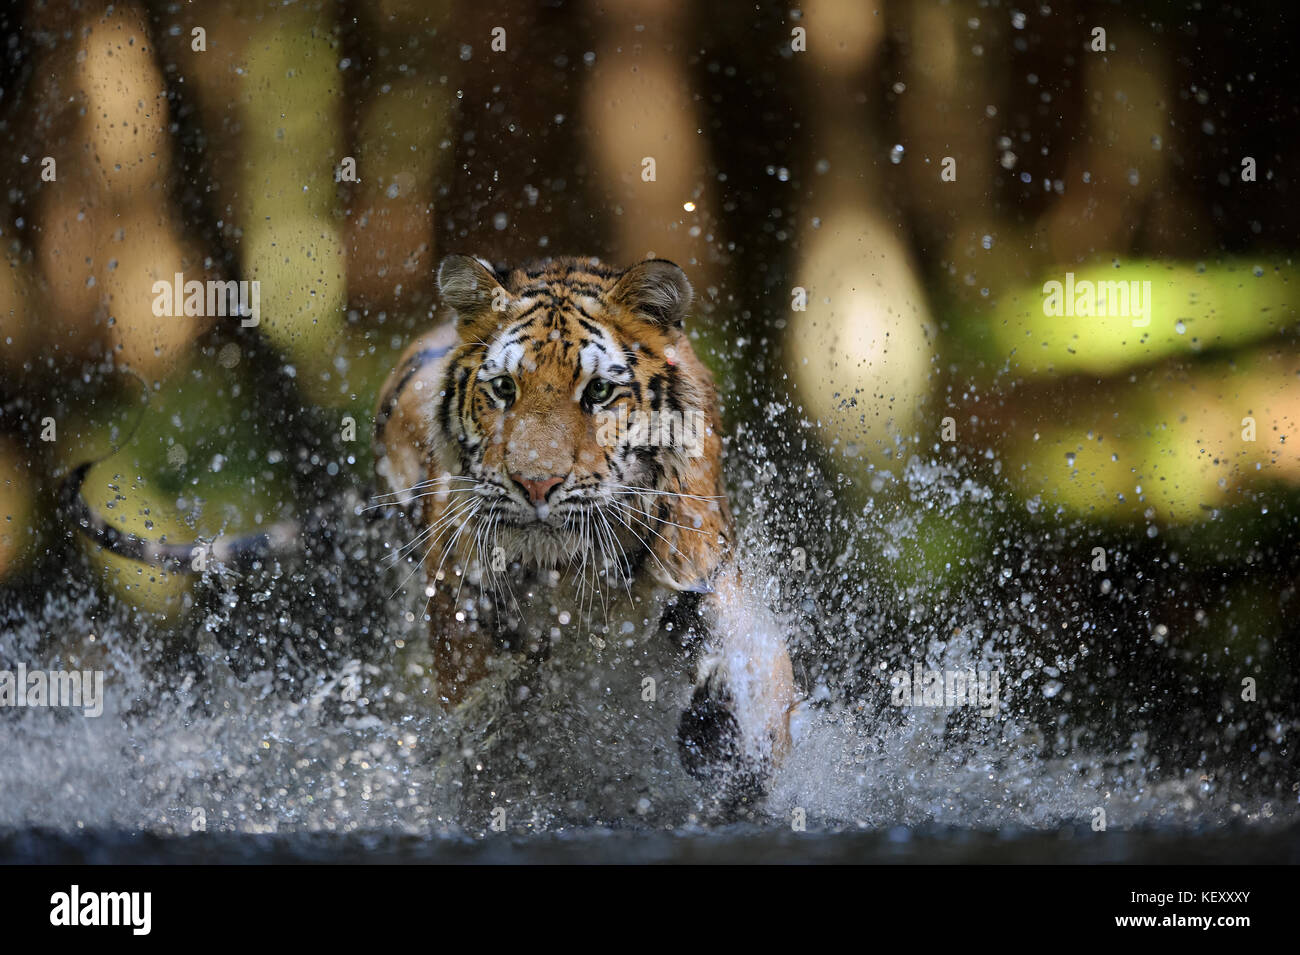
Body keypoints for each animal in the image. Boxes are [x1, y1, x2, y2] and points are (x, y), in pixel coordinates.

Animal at [373, 254, 797, 792]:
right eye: (504, 388)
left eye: (598, 390)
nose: (536, 484)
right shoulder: (462, 611)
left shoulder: (707, 574)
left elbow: (762, 661)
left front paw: (732, 738)